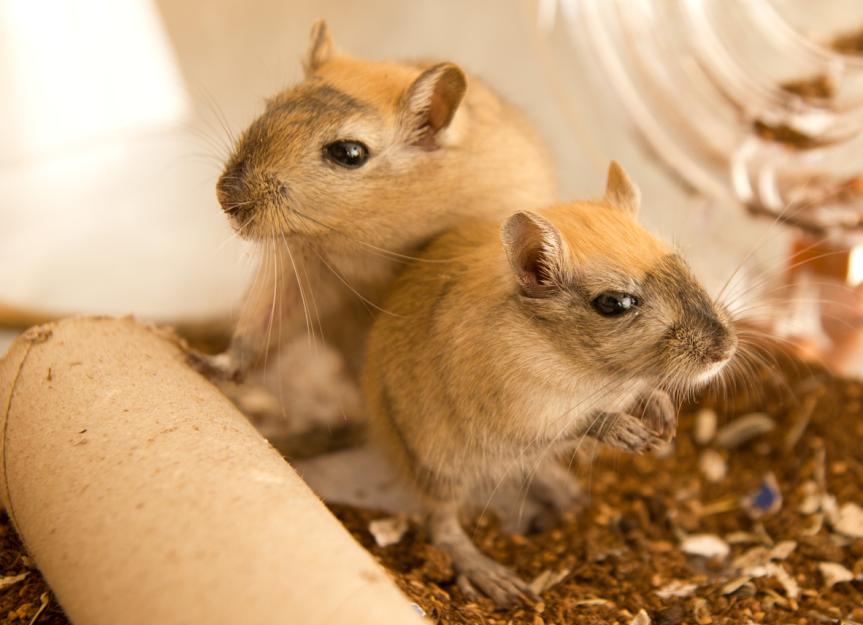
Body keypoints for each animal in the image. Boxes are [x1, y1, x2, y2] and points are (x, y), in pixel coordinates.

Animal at [191, 20, 557, 381]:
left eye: (349, 153)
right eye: (270, 105)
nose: (225, 198)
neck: (364, 243)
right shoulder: (300, 266)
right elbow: (261, 322)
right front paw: (209, 362)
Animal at [362, 162, 737, 607]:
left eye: (682, 261)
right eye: (614, 304)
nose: (726, 350)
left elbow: (648, 392)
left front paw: (664, 421)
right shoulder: (529, 414)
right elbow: (585, 422)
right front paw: (633, 435)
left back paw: (572, 497)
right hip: (438, 468)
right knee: (443, 526)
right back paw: (498, 580)